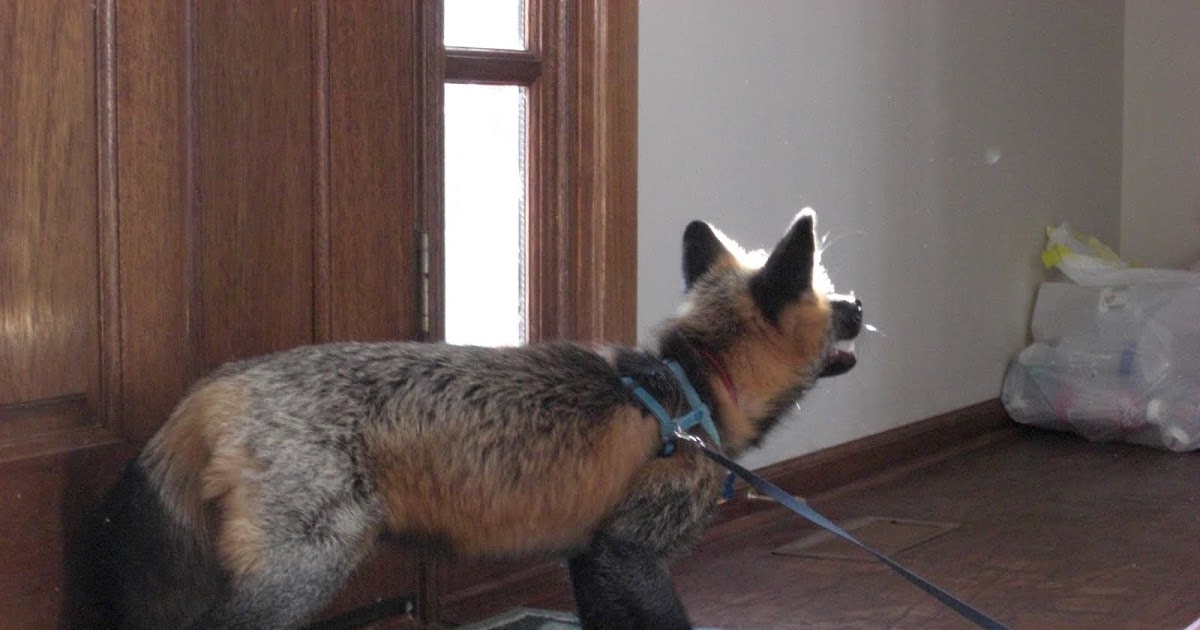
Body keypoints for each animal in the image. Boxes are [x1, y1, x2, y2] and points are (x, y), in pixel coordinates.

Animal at [85, 209, 863, 629]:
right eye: (828, 296)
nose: (860, 302)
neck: (690, 386)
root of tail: (216, 385)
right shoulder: (629, 550)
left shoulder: (589, 555)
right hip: (304, 571)